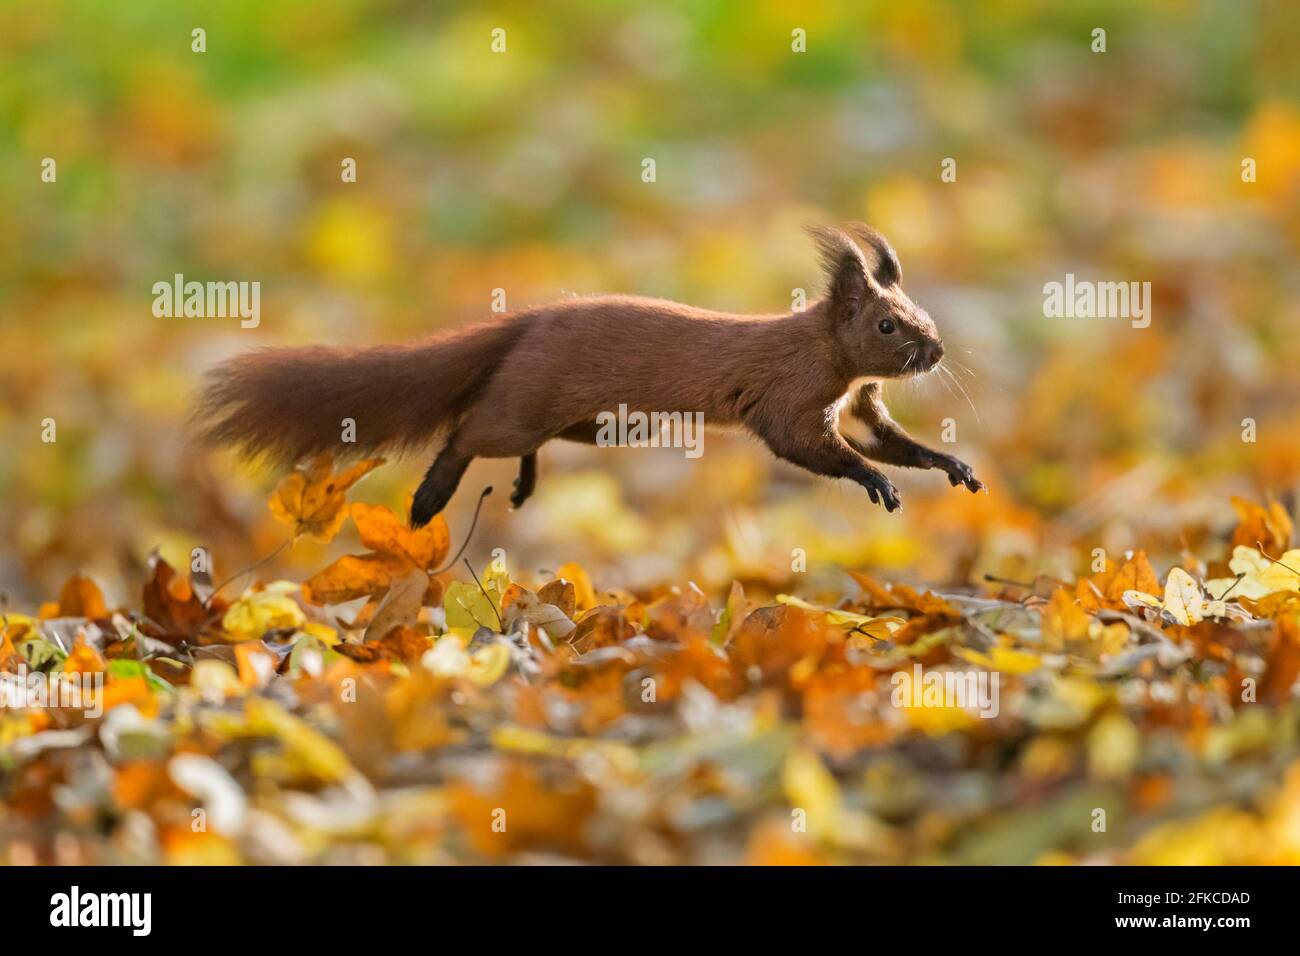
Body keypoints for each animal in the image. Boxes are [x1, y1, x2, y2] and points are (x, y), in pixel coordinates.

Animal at [195, 223, 983, 528]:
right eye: (886, 326)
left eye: (916, 310)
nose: (937, 351)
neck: (827, 354)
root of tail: (529, 323)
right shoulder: (790, 396)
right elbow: (808, 446)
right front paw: (875, 483)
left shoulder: (858, 402)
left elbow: (890, 441)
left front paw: (951, 466)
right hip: (532, 401)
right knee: (469, 430)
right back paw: (430, 498)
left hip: (599, 425)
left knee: (524, 441)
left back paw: (523, 483)